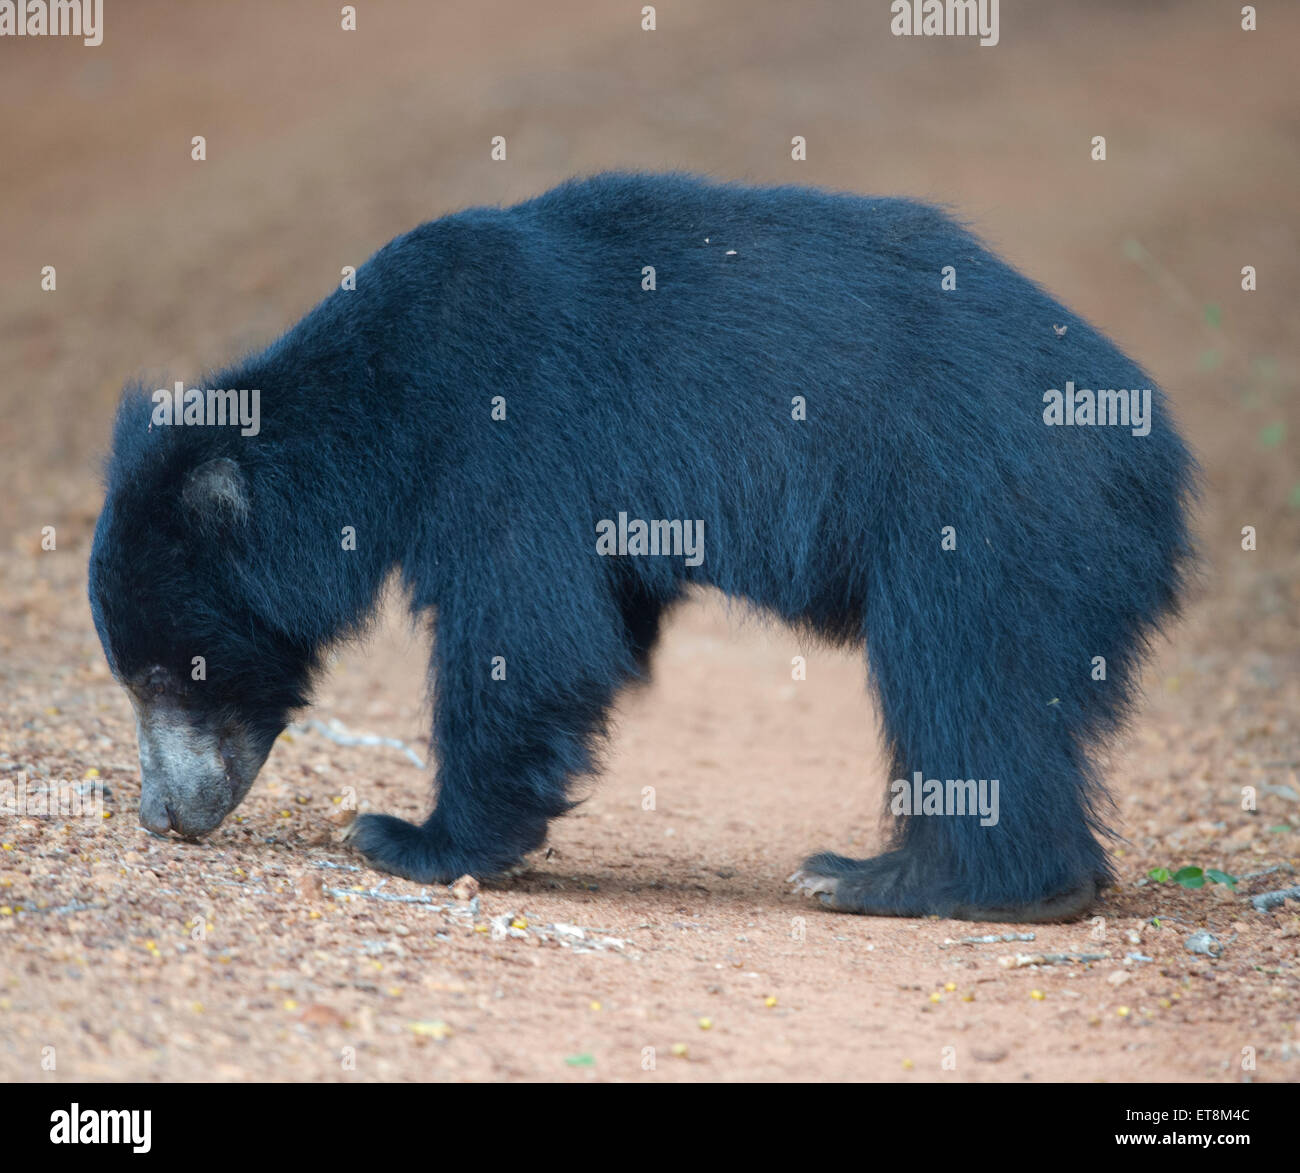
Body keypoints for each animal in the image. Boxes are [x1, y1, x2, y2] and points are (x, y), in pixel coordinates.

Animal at [88, 172, 1197, 921]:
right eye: (132, 677)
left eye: (171, 673)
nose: (163, 812)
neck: (386, 396)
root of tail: (1160, 454)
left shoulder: (509, 438)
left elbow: (528, 634)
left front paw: (409, 838)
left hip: (991, 511)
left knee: (966, 679)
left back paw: (898, 878)